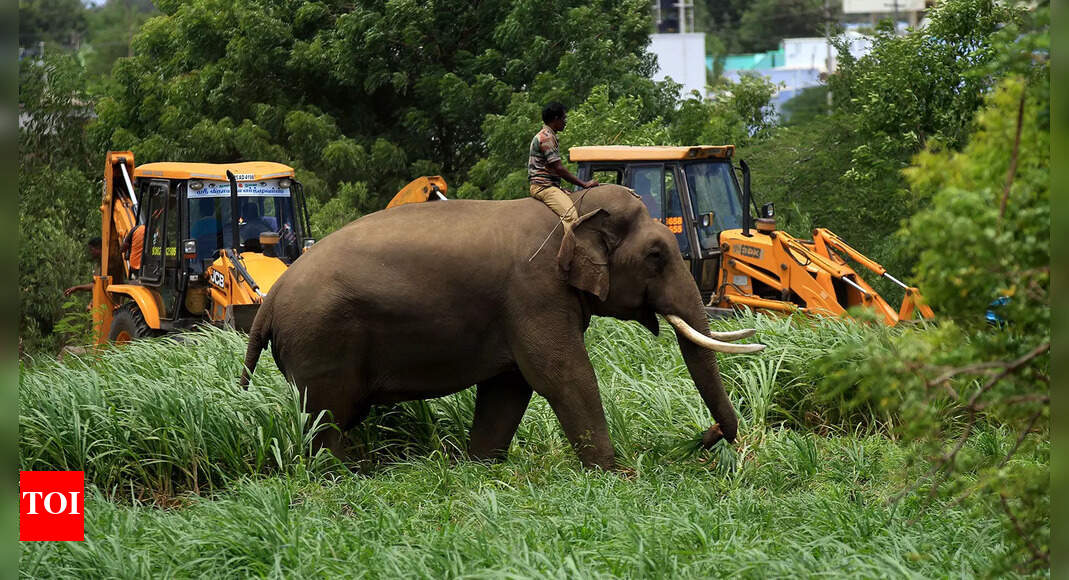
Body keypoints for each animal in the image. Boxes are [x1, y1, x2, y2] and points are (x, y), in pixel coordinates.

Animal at [239, 184, 764, 470]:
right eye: (656, 254)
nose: (707, 437)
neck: (572, 207)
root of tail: (270, 300)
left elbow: (509, 388)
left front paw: (481, 469)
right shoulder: (535, 292)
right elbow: (563, 376)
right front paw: (616, 476)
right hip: (320, 339)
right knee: (327, 418)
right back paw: (343, 477)